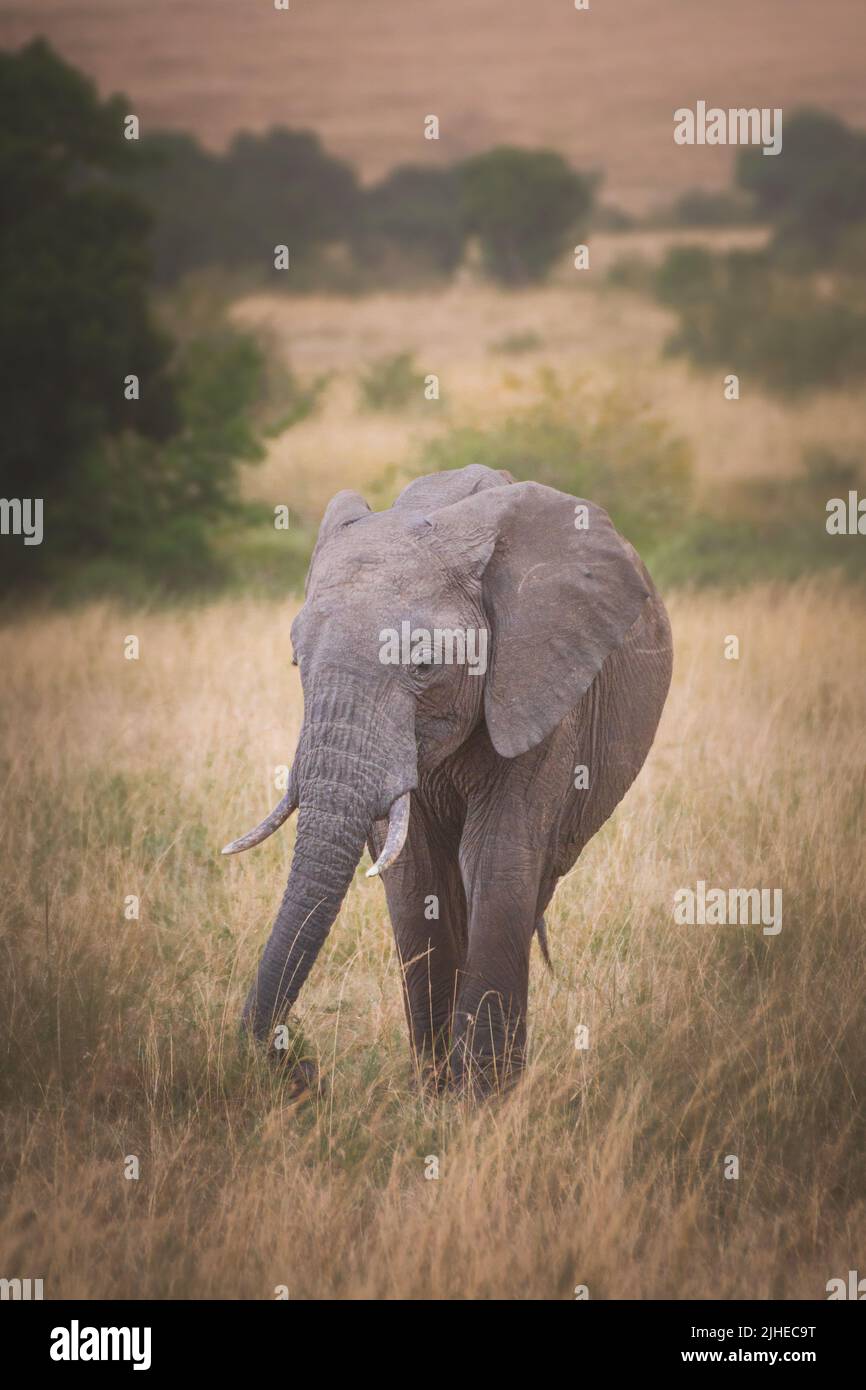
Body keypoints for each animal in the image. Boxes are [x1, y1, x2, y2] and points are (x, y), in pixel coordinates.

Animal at [223, 464, 673, 1095]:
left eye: (424, 663)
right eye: (296, 662)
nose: (301, 1065)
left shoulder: (539, 687)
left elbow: (496, 859)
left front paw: (481, 1099)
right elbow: (415, 874)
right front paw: (436, 1093)